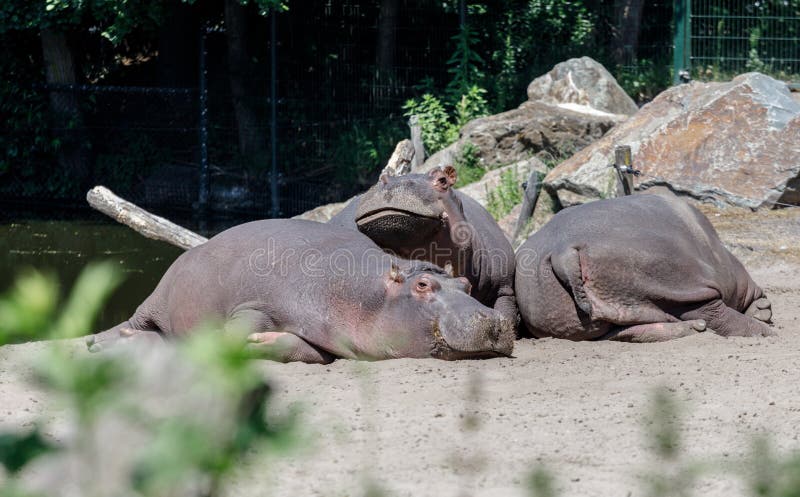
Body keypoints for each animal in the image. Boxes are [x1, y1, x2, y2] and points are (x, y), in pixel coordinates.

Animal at [87, 219, 514, 362]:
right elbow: (234, 333)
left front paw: (263, 343)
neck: (367, 291)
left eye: (466, 284)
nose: (493, 320)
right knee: (133, 324)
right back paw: (101, 342)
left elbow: (312, 354)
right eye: (423, 285)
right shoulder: (256, 302)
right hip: (157, 299)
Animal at [515, 193, 774, 341]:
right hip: (669, 276)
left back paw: (697, 329)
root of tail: (563, 250)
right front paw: (762, 311)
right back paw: (762, 330)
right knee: (709, 311)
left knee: (626, 330)